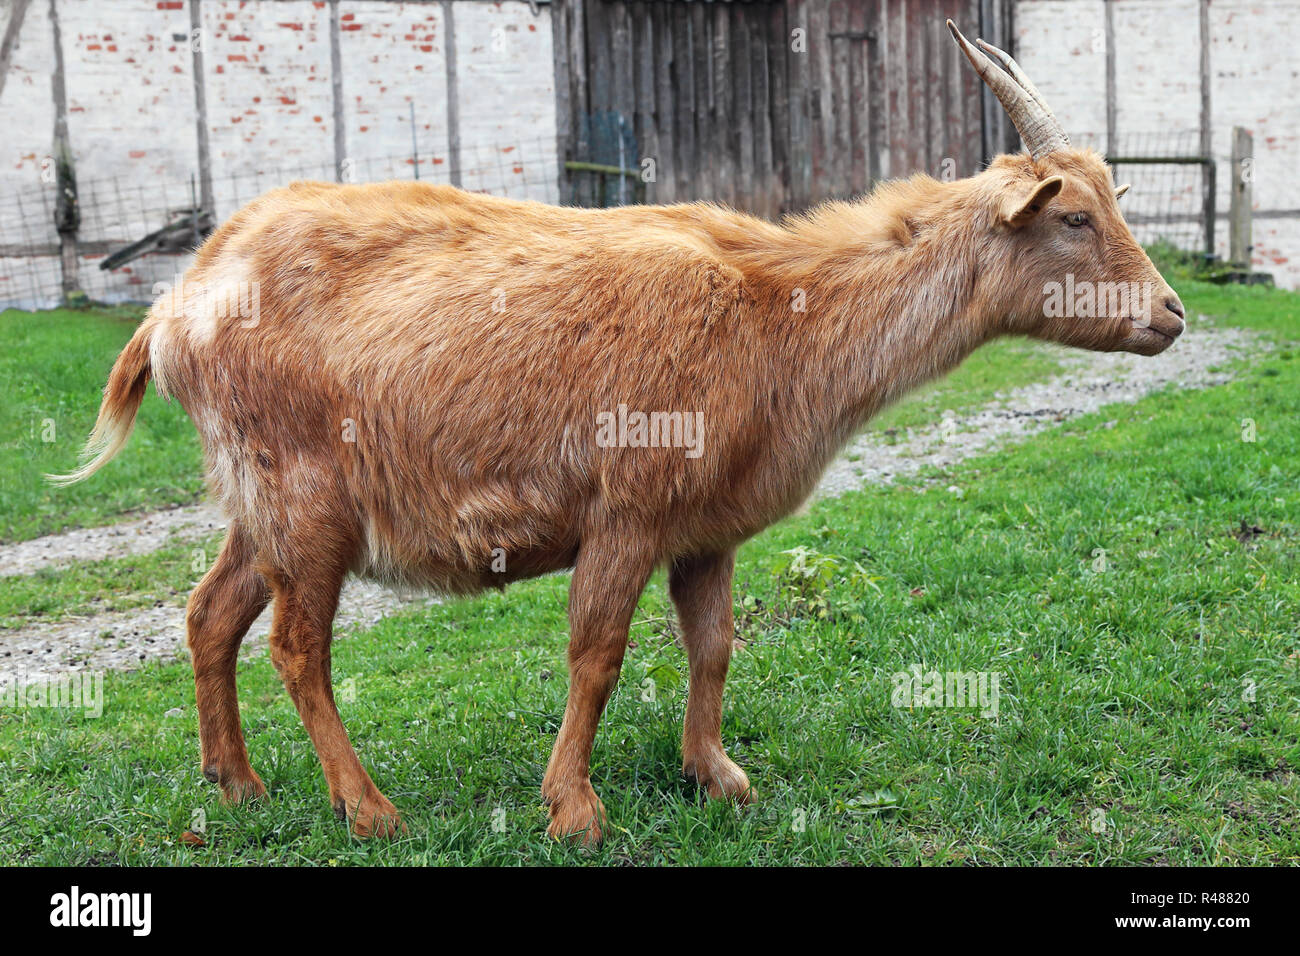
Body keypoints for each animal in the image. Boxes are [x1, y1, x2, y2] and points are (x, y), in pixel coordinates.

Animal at [53, 22, 1184, 844]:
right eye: (1073, 216)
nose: (1171, 314)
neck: (780, 310)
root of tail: (178, 303)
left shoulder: (706, 529)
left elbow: (713, 644)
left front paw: (715, 774)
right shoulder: (627, 511)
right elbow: (596, 652)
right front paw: (576, 810)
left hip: (259, 502)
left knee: (210, 614)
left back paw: (236, 784)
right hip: (307, 496)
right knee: (296, 645)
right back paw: (367, 807)